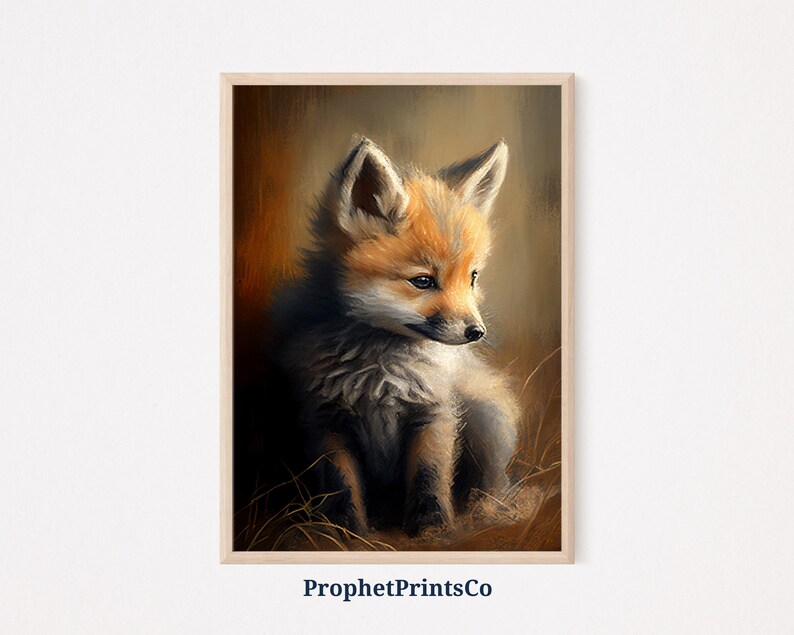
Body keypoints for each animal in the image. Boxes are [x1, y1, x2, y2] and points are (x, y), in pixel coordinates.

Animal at [271, 137, 520, 536]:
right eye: (423, 281)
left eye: (472, 277)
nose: (476, 332)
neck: (378, 373)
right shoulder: (325, 419)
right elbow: (341, 484)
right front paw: (344, 533)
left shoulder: (433, 412)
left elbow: (429, 475)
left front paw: (432, 528)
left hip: (489, 417)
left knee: (492, 480)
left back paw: (486, 509)